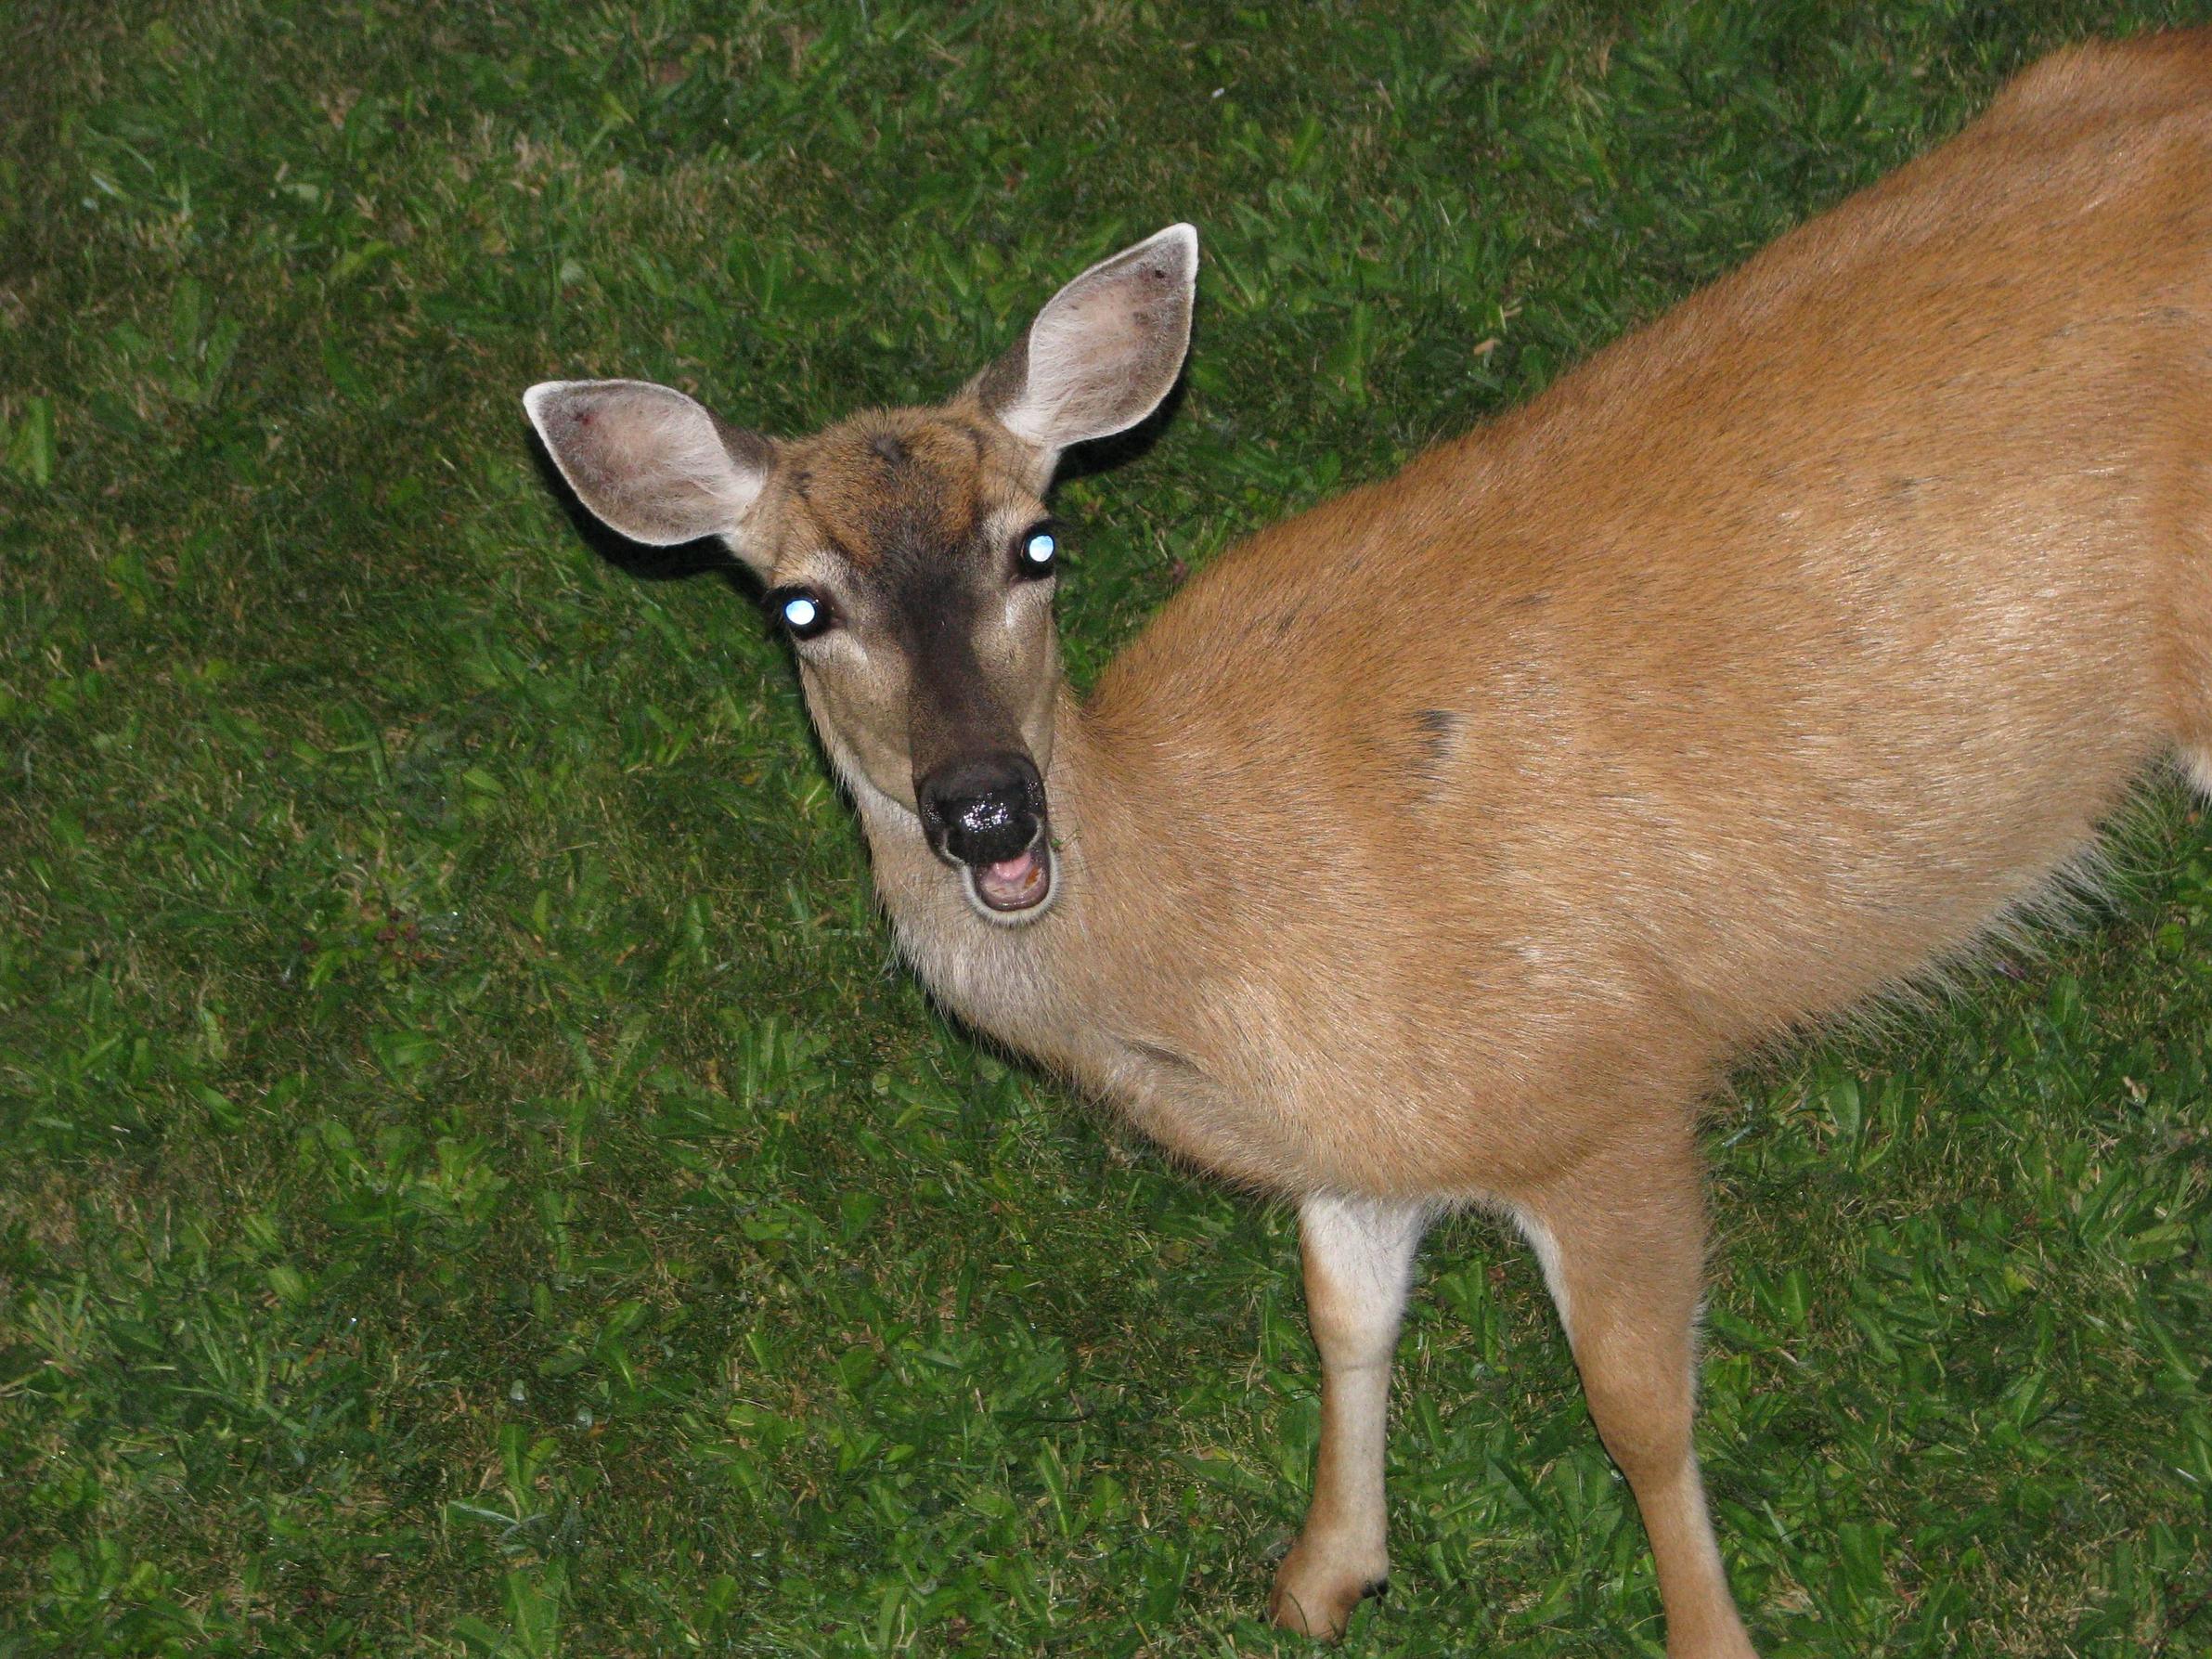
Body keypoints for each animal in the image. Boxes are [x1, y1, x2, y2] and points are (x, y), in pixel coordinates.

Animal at [522, 29, 2212, 1656]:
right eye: (799, 605)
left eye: (1036, 543)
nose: (986, 803)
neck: (1217, 929)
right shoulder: (1361, 1143)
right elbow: (1343, 1317)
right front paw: (1323, 1573)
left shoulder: (1601, 1076)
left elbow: (1636, 1409)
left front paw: (1705, 1629)